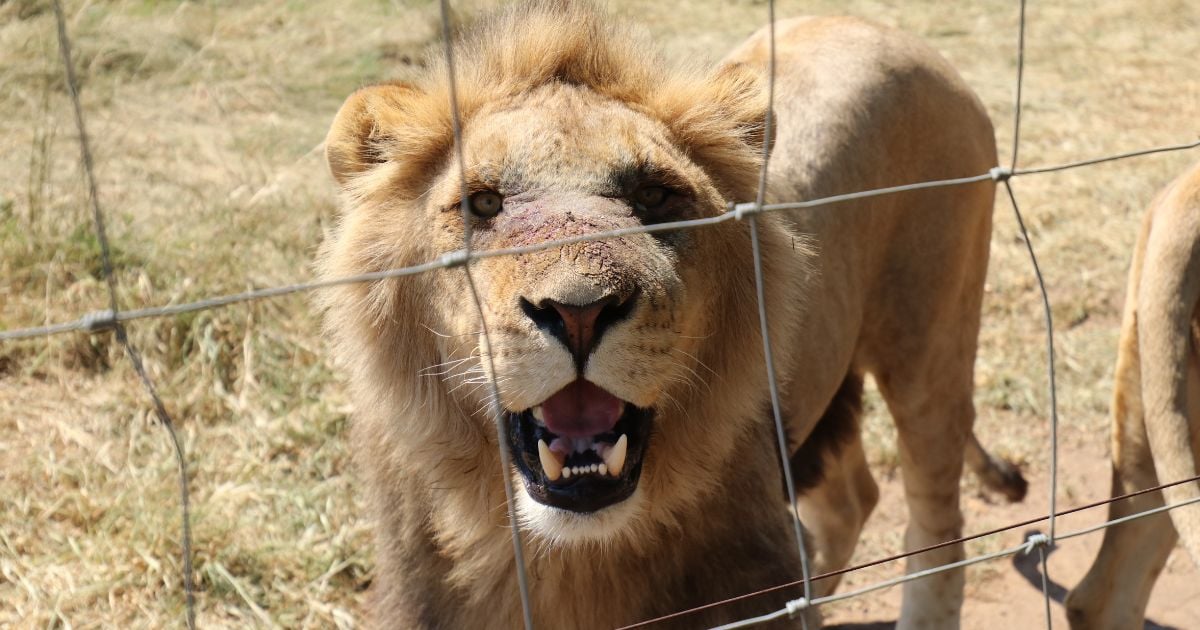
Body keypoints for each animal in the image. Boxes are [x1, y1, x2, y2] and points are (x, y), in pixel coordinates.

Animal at [318, 2, 1018, 628]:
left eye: (654, 196)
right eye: (483, 203)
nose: (579, 313)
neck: (572, 558)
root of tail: (878, 26)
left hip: (929, 347)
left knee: (938, 526)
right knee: (852, 502)